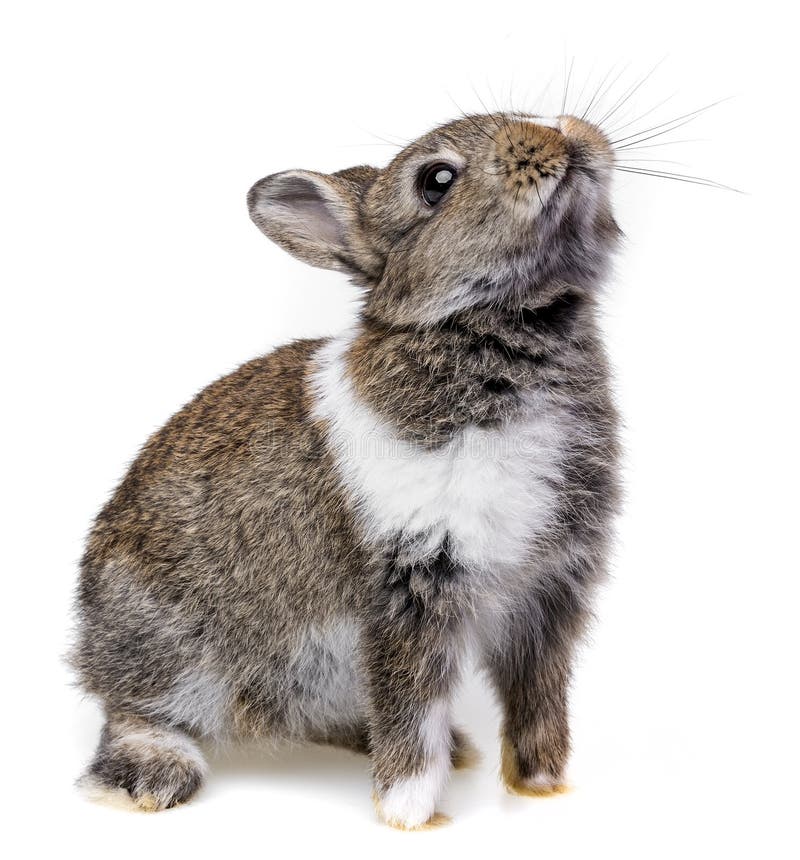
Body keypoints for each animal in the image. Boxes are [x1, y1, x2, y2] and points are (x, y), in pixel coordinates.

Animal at [72, 111, 621, 830]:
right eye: (436, 180)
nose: (564, 133)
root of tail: (88, 635)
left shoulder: (550, 591)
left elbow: (537, 699)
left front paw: (542, 788)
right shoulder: (410, 589)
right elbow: (412, 708)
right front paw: (410, 815)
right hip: (168, 643)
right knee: (132, 707)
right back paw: (152, 774)